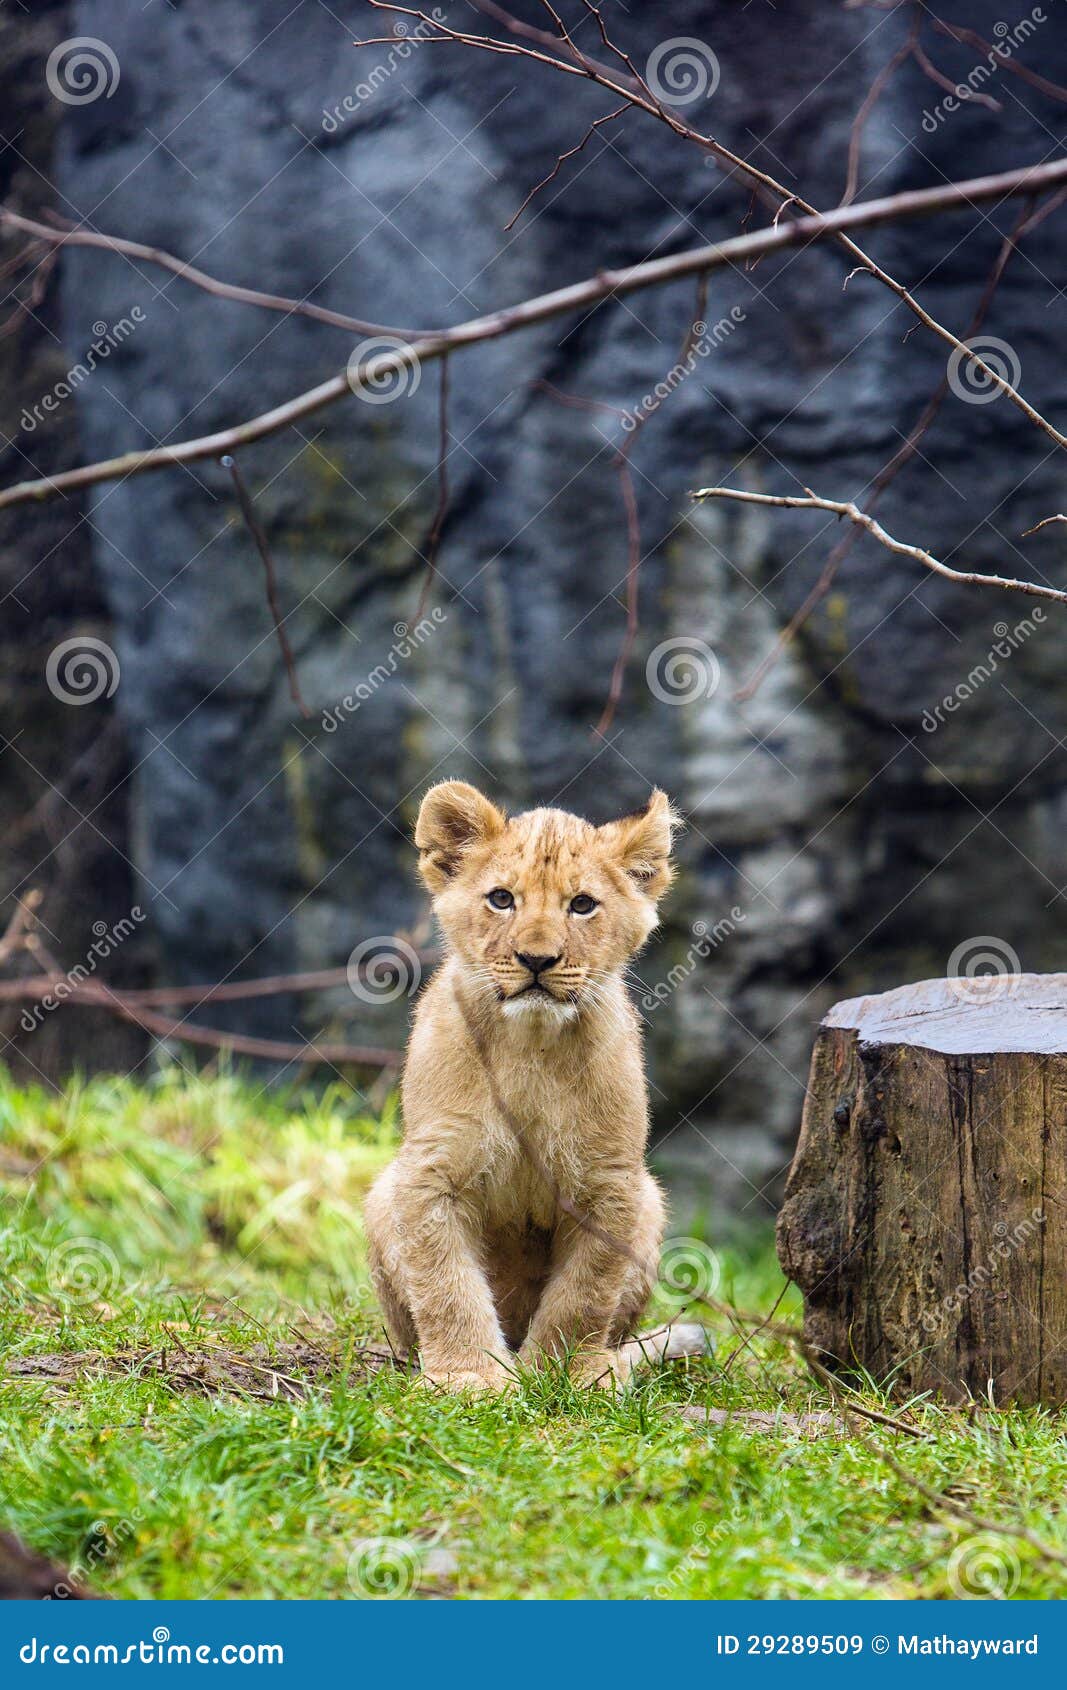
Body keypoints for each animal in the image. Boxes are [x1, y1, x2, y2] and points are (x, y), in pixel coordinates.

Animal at [364, 780, 703, 1392]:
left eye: (582, 904)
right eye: (501, 899)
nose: (537, 960)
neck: (532, 1044)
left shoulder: (611, 1183)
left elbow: (583, 1295)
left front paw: (558, 1377)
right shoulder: (432, 1171)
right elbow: (447, 1286)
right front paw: (468, 1376)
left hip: (650, 1202)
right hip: (383, 1193)